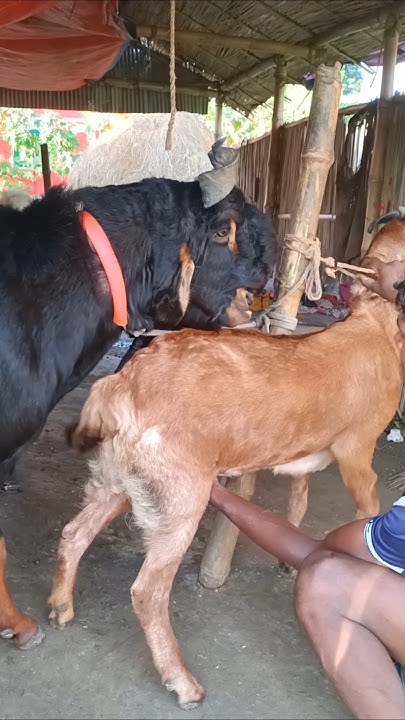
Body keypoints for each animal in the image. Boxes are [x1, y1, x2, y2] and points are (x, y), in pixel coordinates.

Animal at [49, 221, 404, 708]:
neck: (376, 326)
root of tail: (122, 386)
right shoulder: (357, 449)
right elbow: (367, 509)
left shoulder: (304, 456)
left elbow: (299, 498)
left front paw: (289, 561)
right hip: (180, 498)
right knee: (147, 590)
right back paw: (182, 682)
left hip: (118, 480)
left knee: (74, 533)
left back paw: (60, 607)